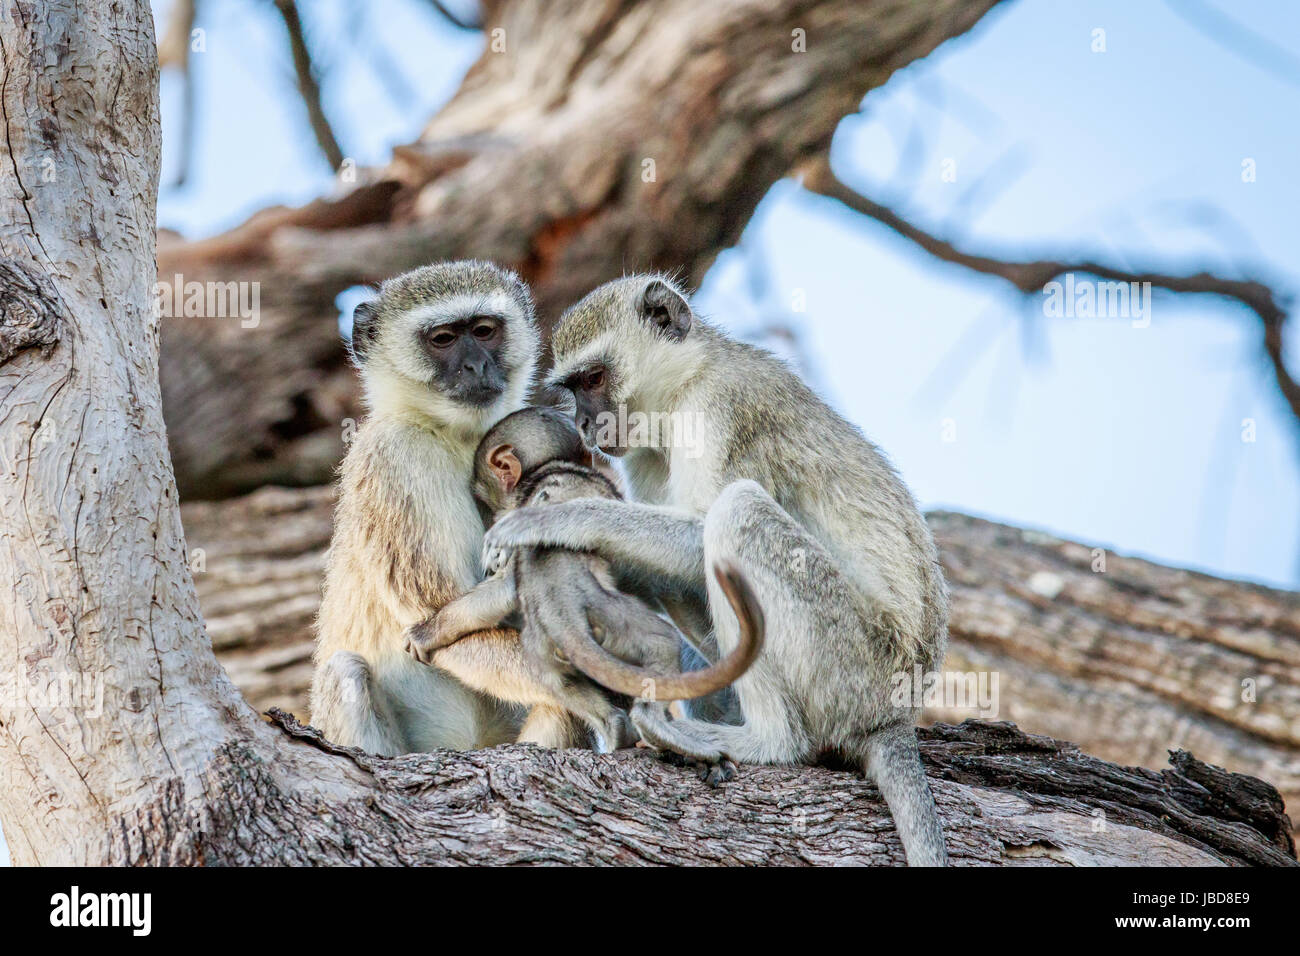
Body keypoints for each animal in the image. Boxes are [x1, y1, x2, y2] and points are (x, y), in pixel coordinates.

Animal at [405, 406, 763, 752]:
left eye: (481, 497)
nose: (489, 513)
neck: (551, 469)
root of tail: (564, 614)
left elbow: (507, 584)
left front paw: (429, 632)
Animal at [480, 275, 950, 866]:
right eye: (574, 388)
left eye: (594, 378)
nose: (587, 424)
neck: (689, 378)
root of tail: (897, 714)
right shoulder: (644, 453)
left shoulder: (721, 410)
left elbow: (698, 535)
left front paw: (549, 519)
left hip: (855, 662)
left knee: (736, 513)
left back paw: (764, 741)